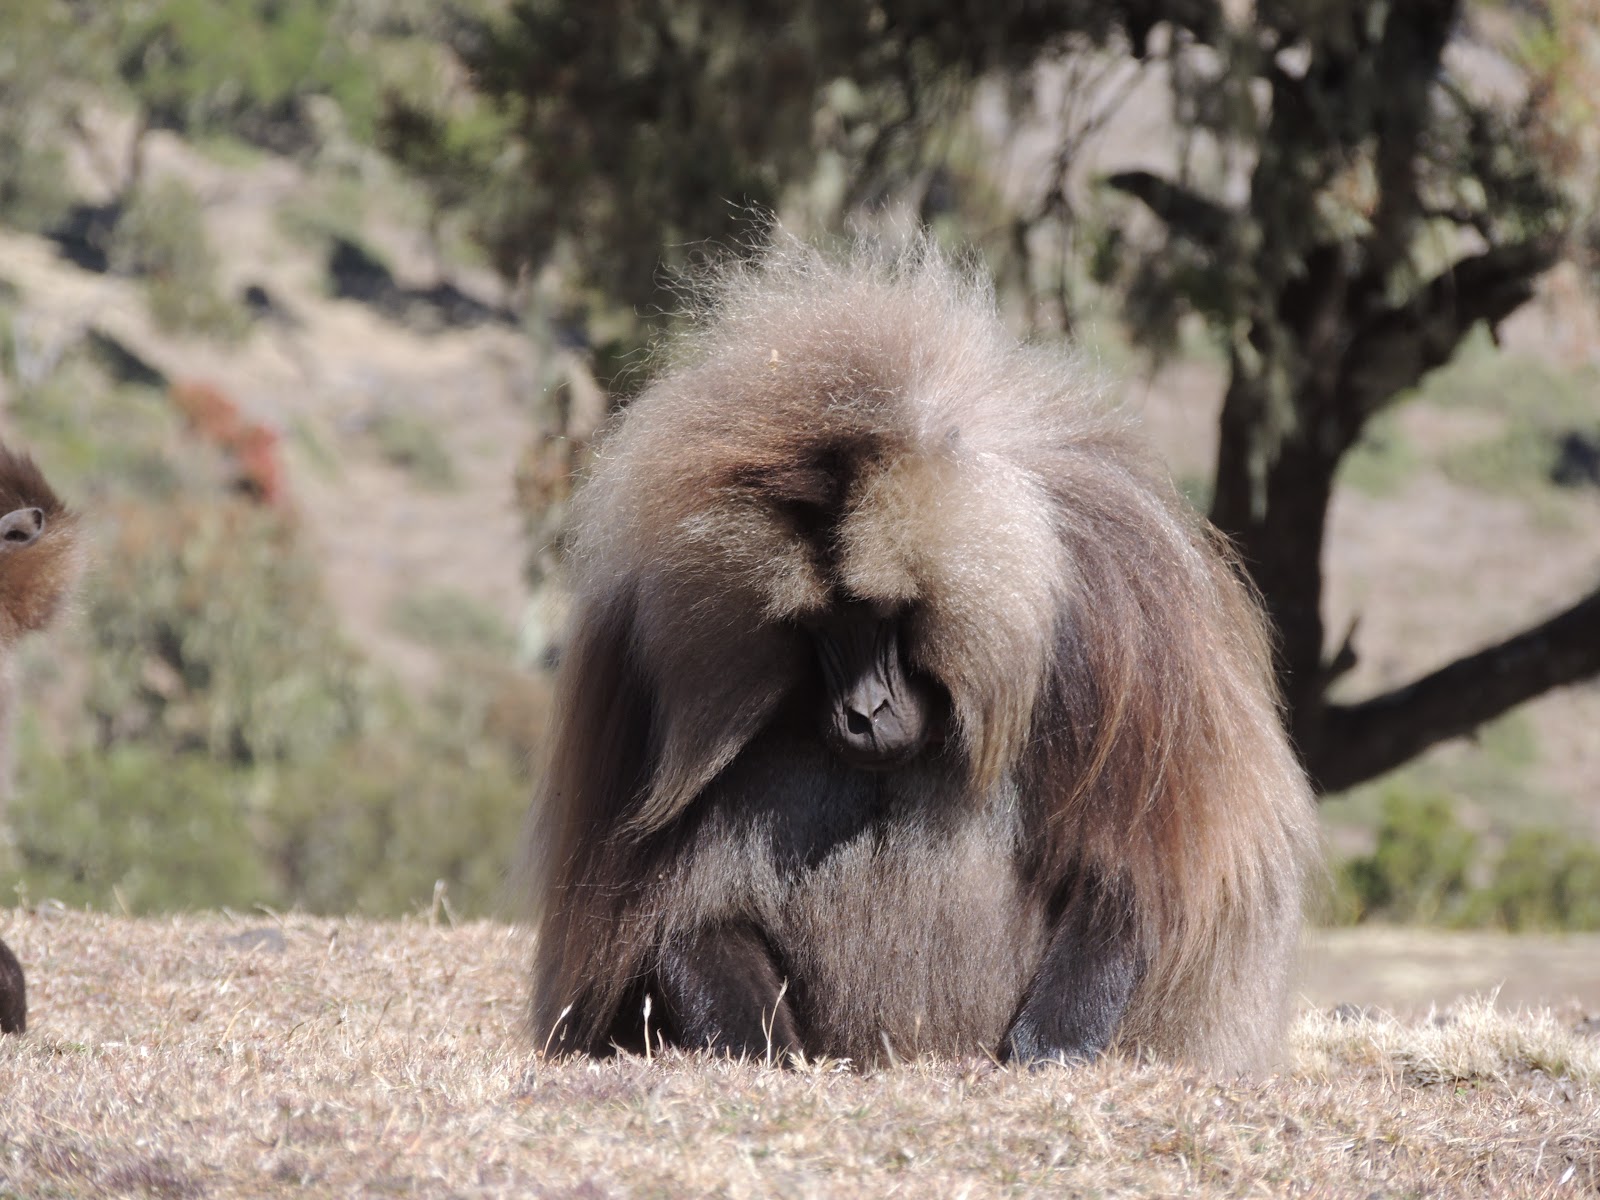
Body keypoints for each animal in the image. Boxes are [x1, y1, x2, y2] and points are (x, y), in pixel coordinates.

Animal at [523, 241, 1320, 1071]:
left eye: (881, 616)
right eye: (819, 628)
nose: (861, 714)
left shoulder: (1118, 630)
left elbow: (1137, 879)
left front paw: (1048, 1052)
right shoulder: (636, 677)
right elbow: (663, 919)